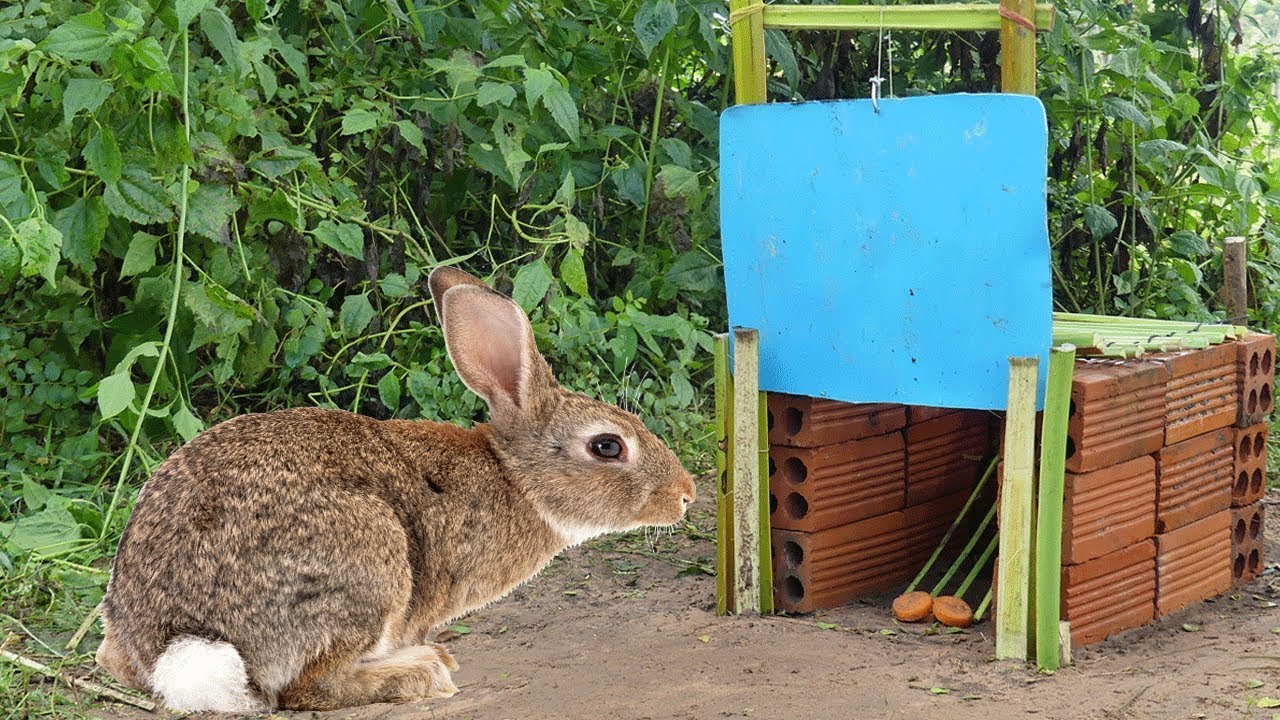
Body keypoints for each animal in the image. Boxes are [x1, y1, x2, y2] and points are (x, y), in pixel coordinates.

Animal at [94, 266, 697, 712]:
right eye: (607, 447)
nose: (686, 494)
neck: (514, 478)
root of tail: (179, 640)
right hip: (370, 562)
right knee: (304, 688)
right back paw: (424, 673)